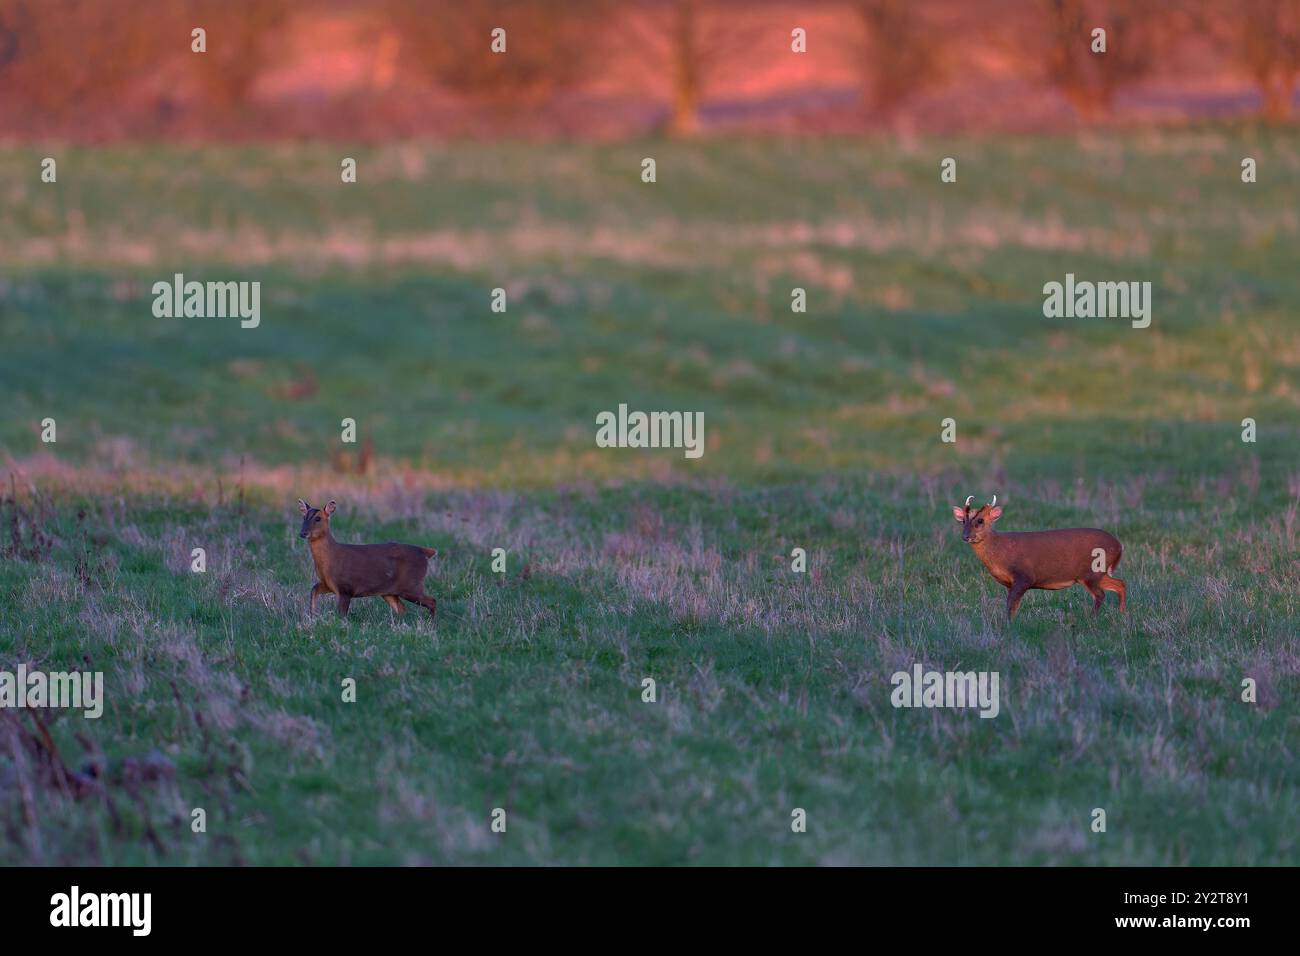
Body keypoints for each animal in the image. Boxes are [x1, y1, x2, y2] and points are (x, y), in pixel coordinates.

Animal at [297, 498, 437, 620]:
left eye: (318, 518)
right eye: (304, 518)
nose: (302, 533)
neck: (330, 559)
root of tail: (424, 551)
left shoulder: (346, 587)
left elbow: (342, 615)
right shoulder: (328, 583)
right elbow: (313, 590)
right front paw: (312, 615)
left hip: (411, 584)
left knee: (432, 601)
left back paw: (431, 624)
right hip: (390, 592)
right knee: (402, 609)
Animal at [952, 494, 1126, 621]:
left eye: (980, 520)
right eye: (963, 521)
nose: (965, 536)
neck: (1000, 550)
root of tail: (1119, 546)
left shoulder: (1024, 576)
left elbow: (1010, 605)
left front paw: (1008, 624)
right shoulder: (1010, 583)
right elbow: (1012, 605)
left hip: (1090, 572)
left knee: (1101, 594)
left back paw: (1091, 619)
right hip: (1097, 573)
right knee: (1120, 584)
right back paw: (1122, 614)